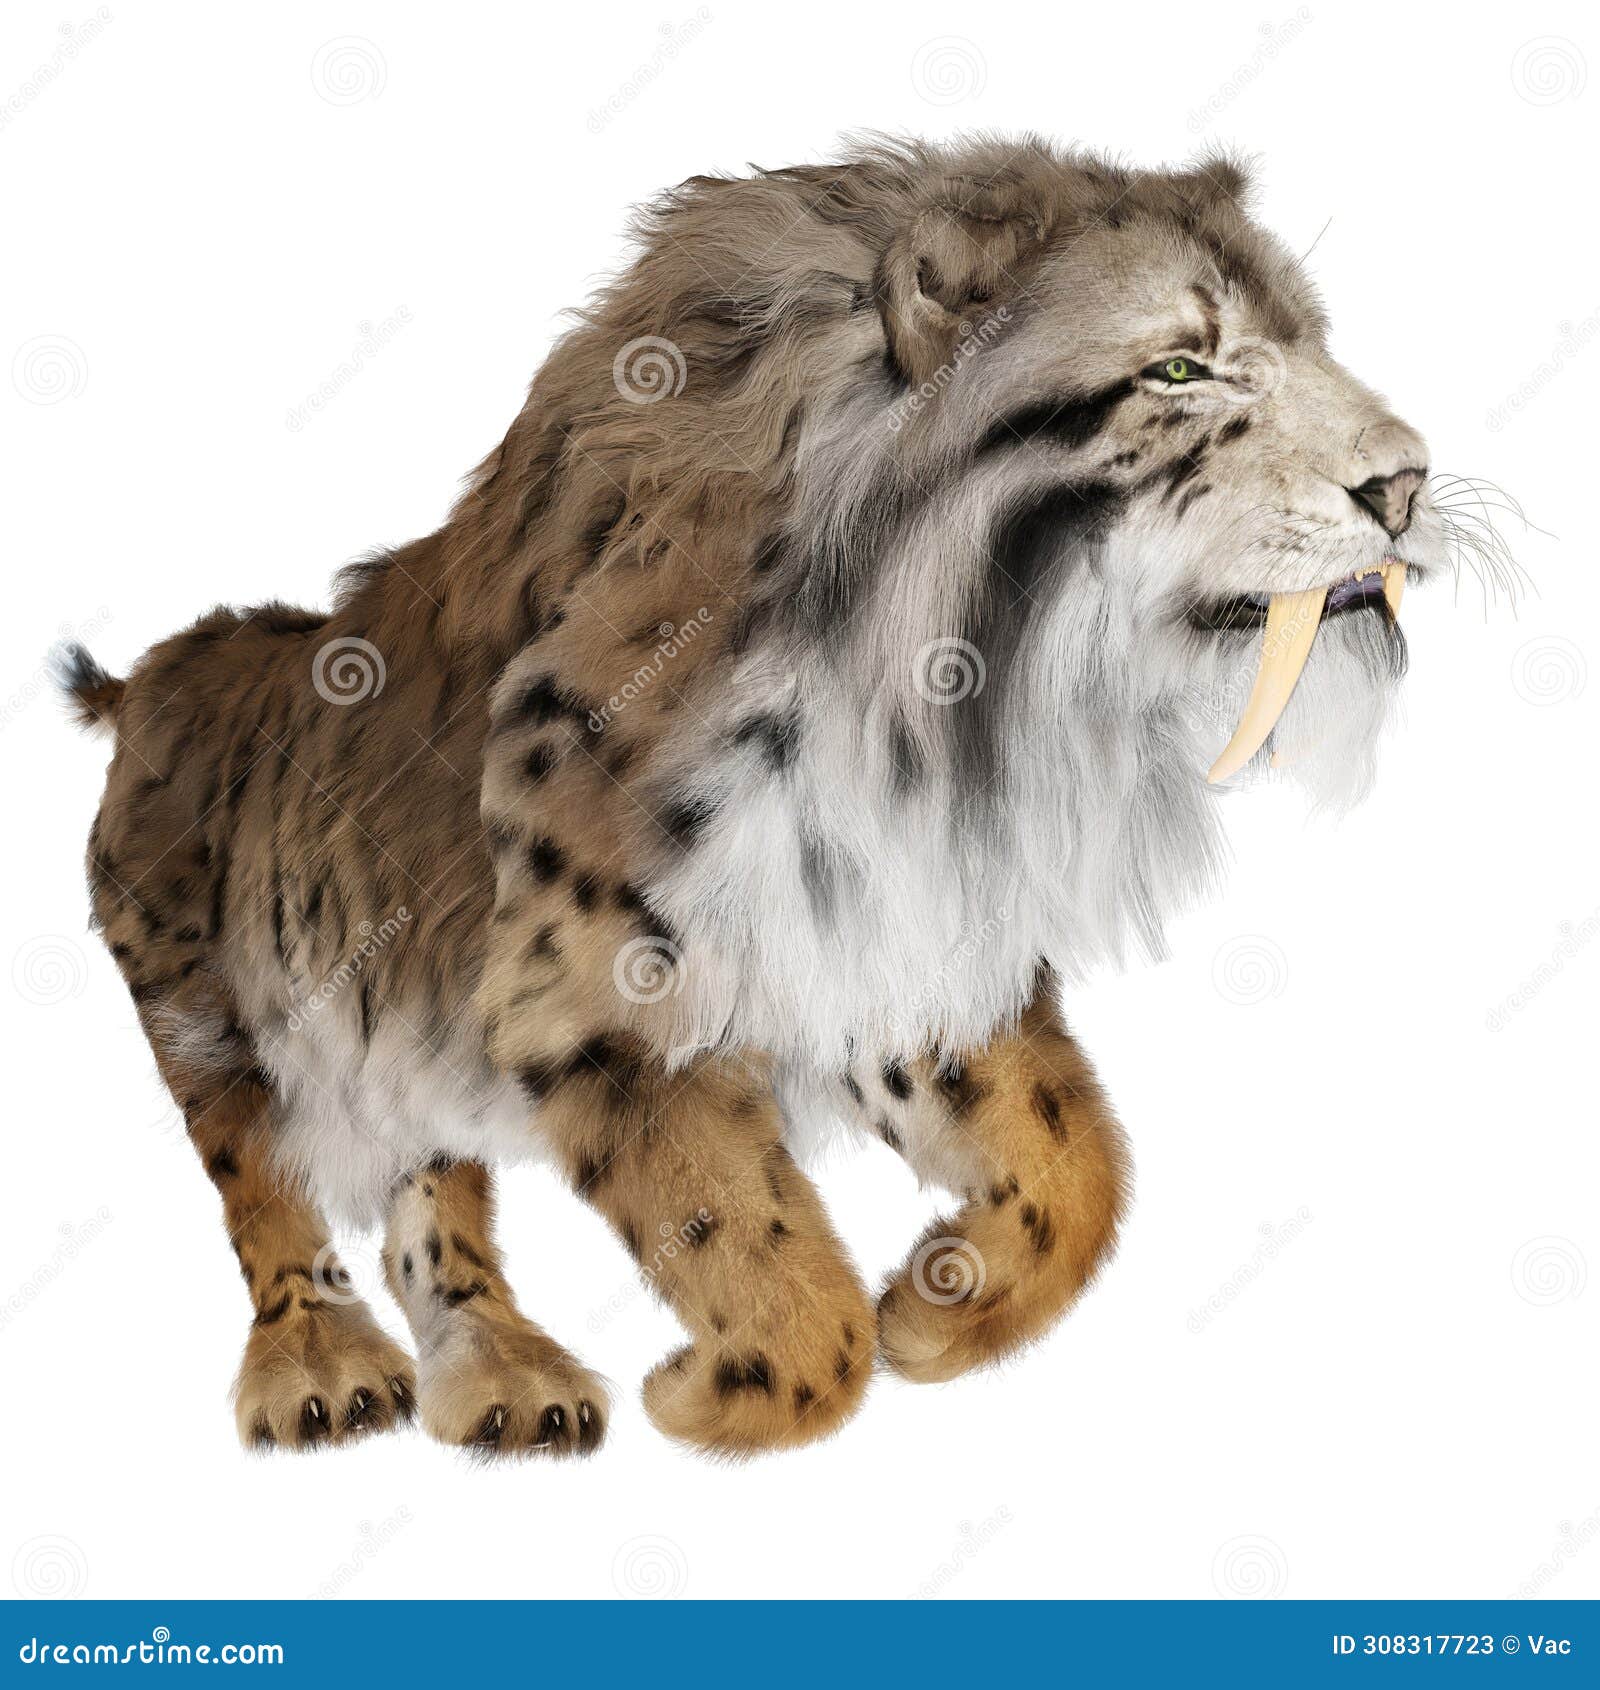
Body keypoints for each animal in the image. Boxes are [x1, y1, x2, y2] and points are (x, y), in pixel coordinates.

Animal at [61, 135, 1470, 1459]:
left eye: (1313, 342)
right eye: (1181, 370)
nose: (1408, 483)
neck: (943, 679)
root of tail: (153, 673)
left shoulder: (881, 924)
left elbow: (1078, 1158)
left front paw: (941, 1303)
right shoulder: (595, 987)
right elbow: (757, 1249)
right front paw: (724, 1392)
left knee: (428, 1192)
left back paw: (503, 1376)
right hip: (212, 1024)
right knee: (268, 1191)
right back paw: (322, 1369)